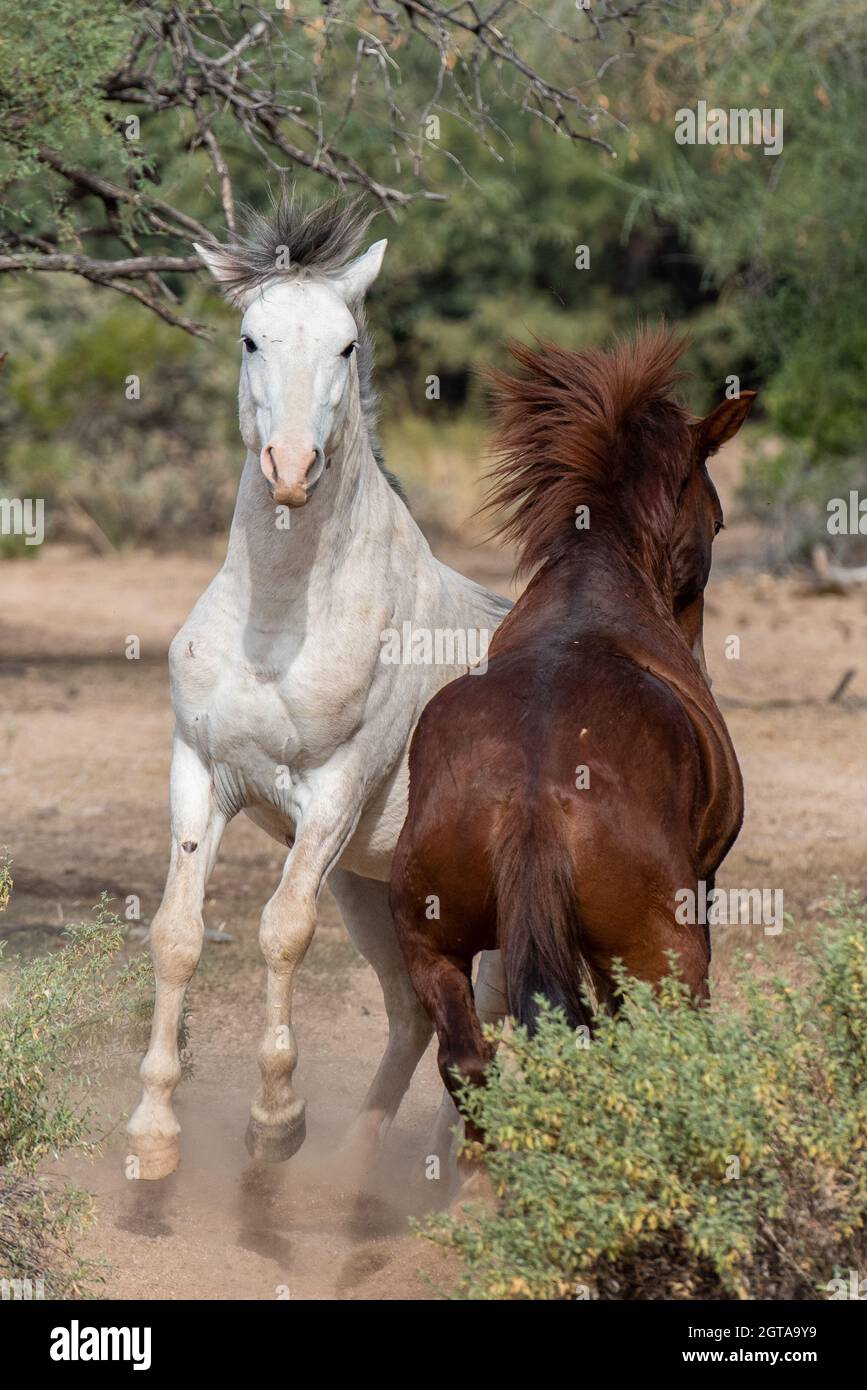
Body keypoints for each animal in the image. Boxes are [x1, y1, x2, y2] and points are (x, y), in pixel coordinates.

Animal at [126, 194, 510, 1180]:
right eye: (249, 339)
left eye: (345, 346)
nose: (291, 469)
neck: (277, 622)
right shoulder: (199, 772)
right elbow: (177, 935)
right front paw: (154, 1133)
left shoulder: (335, 792)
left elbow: (279, 930)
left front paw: (274, 1120)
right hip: (377, 891)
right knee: (418, 1014)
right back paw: (360, 1168)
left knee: (494, 1016)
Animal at [389, 329, 755, 1136]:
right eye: (717, 520)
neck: (593, 584)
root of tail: (531, 802)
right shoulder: (703, 889)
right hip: (666, 955)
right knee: (666, 1056)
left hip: (431, 946)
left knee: (468, 1065)